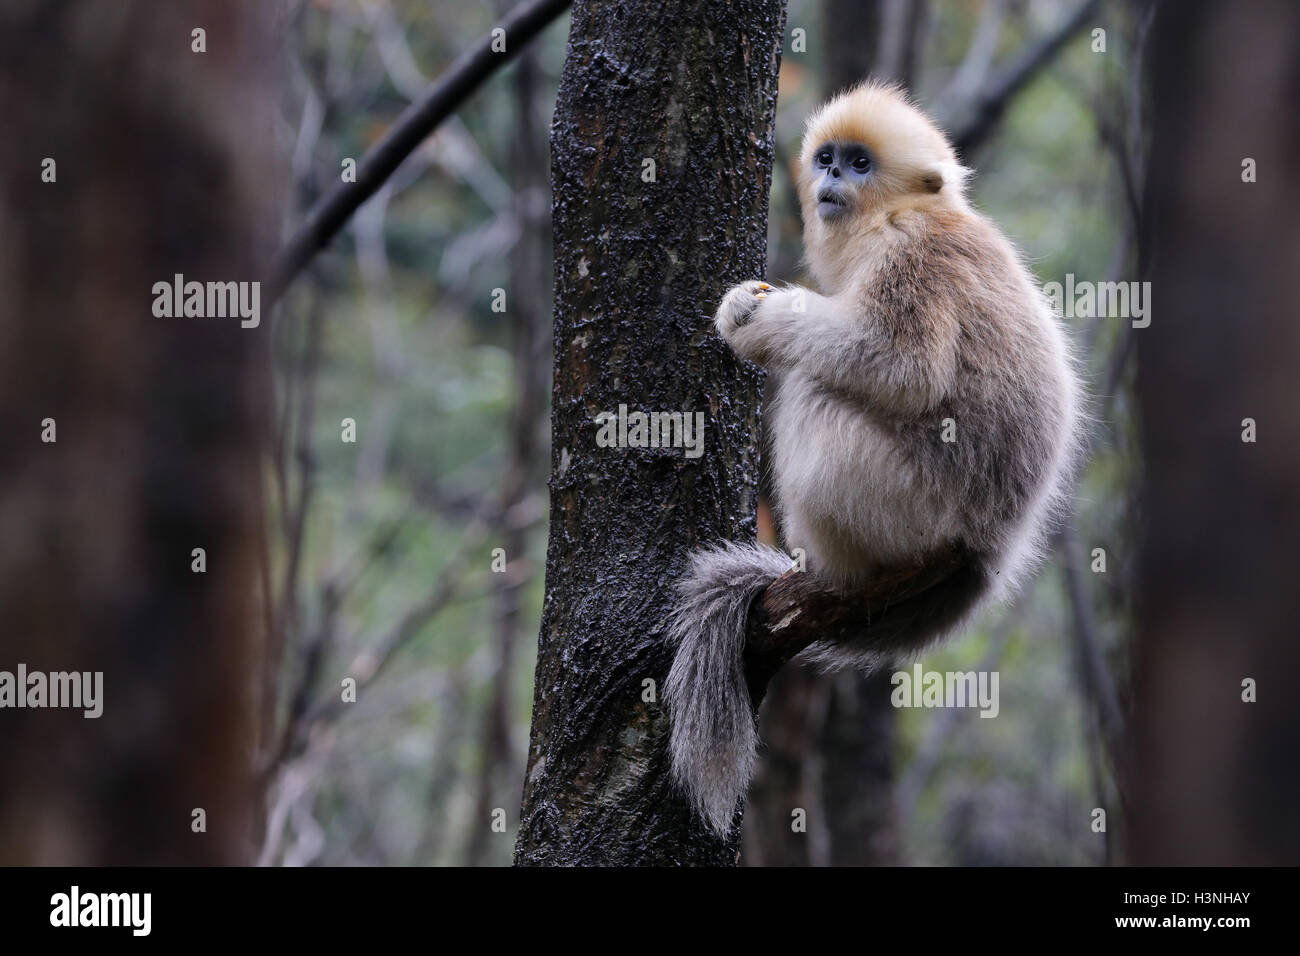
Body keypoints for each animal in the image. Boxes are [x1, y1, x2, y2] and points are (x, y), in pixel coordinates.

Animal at [663, 82, 1085, 836]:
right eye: (828, 158)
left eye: (861, 164)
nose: (831, 178)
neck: (906, 212)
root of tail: (987, 552)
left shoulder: (906, 254)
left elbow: (903, 368)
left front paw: (758, 320)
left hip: (907, 506)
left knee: (813, 391)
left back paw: (826, 567)